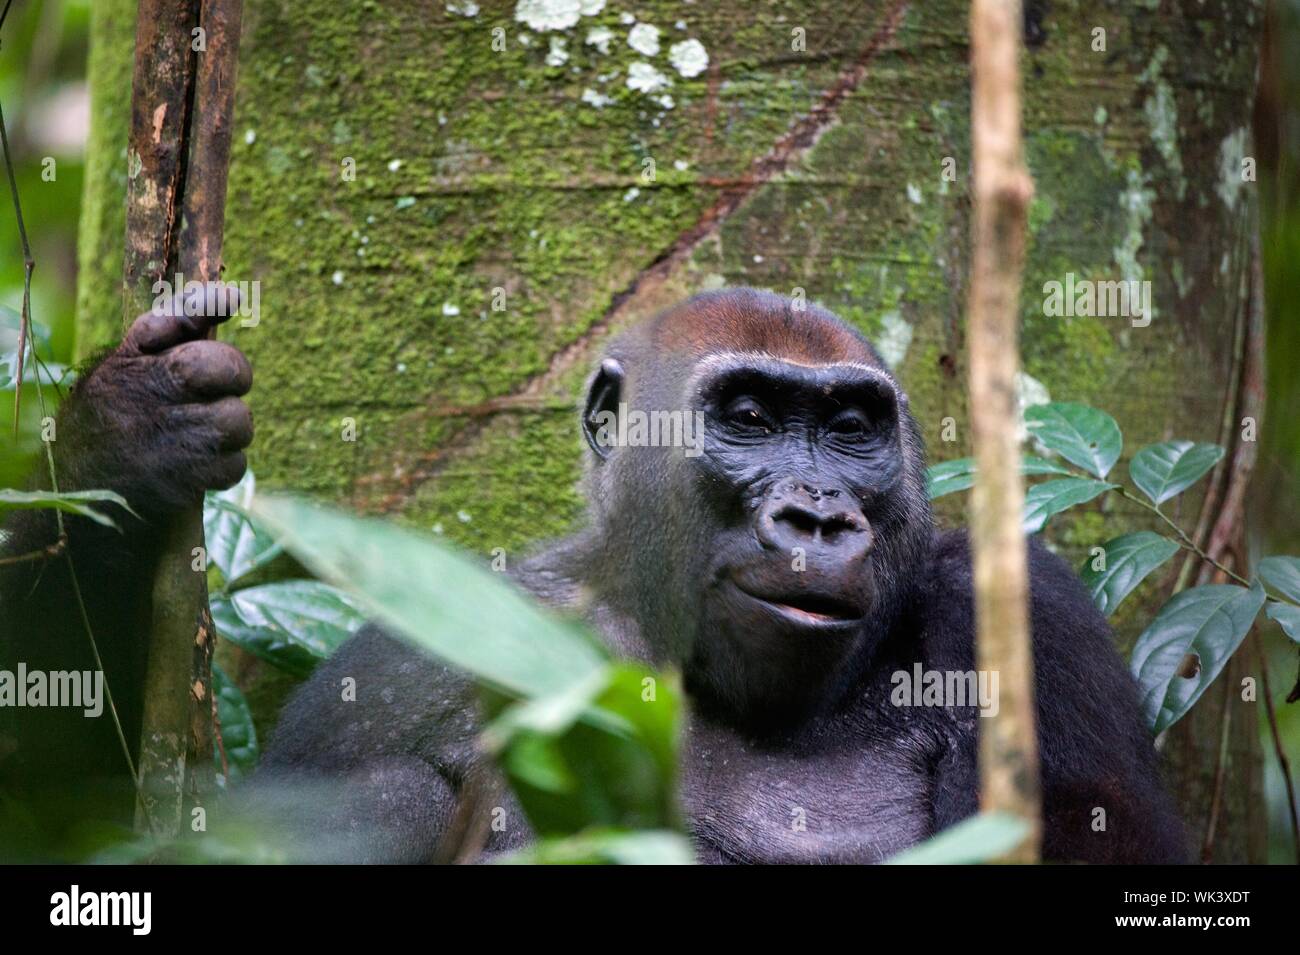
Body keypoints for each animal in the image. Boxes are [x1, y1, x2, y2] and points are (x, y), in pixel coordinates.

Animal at [0, 287, 1186, 863]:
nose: (818, 514)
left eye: (851, 431)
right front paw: (125, 437)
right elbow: (83, 796)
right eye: (749, 417)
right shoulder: (403, 659)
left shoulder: (1030, 614)